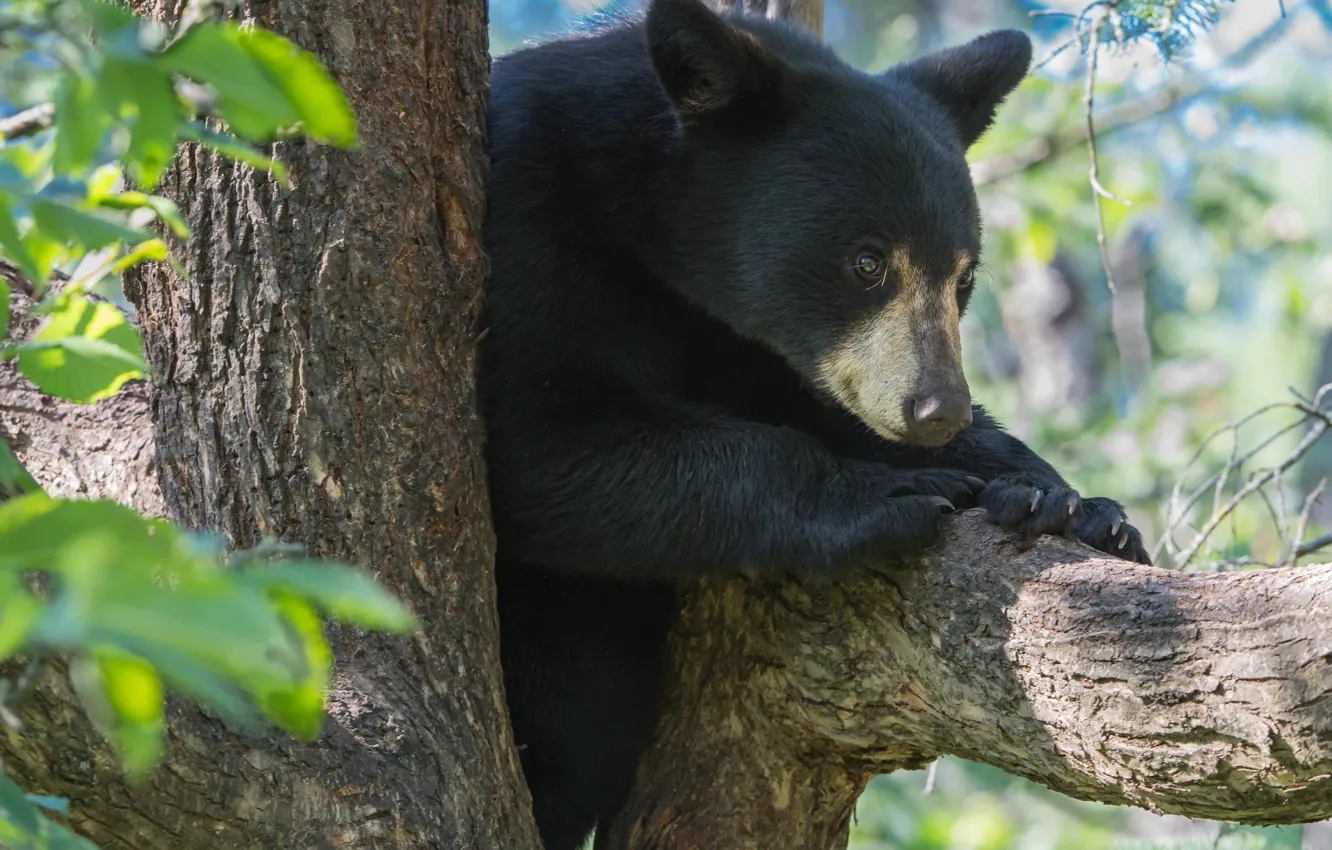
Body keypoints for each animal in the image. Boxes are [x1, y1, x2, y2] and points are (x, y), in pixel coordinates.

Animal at [479, 2, 1151, 848]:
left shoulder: (750, 336)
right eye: (867, 261)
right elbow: (538, 433)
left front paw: (1065, 502)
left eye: (963, 276)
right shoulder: (524, 218)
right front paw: (883, 498)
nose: (938, 411)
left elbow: (815, 399)